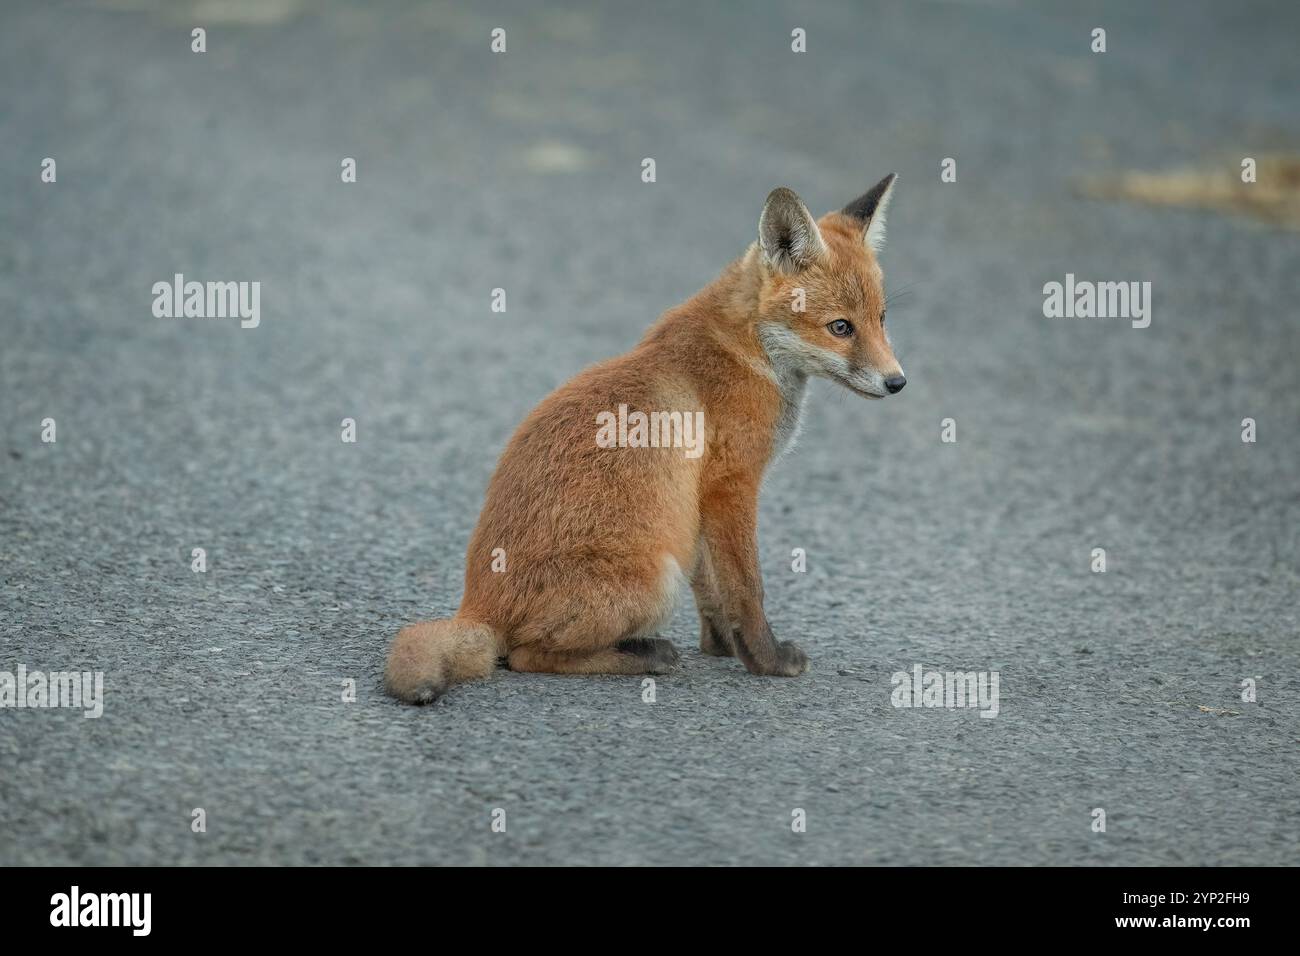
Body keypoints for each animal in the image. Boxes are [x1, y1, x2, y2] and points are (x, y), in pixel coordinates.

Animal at [385, 174, 906, 703]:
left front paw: (723, 647)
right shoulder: (731, 484)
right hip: (657, 576)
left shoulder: (695, 501)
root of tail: (477, 608)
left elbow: (711, 589)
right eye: (840, 327)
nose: (897, 382)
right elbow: (746, 588)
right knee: (526, 656)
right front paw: (767, 661)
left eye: (881, 319)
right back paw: (648, 654)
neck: (750, 350)